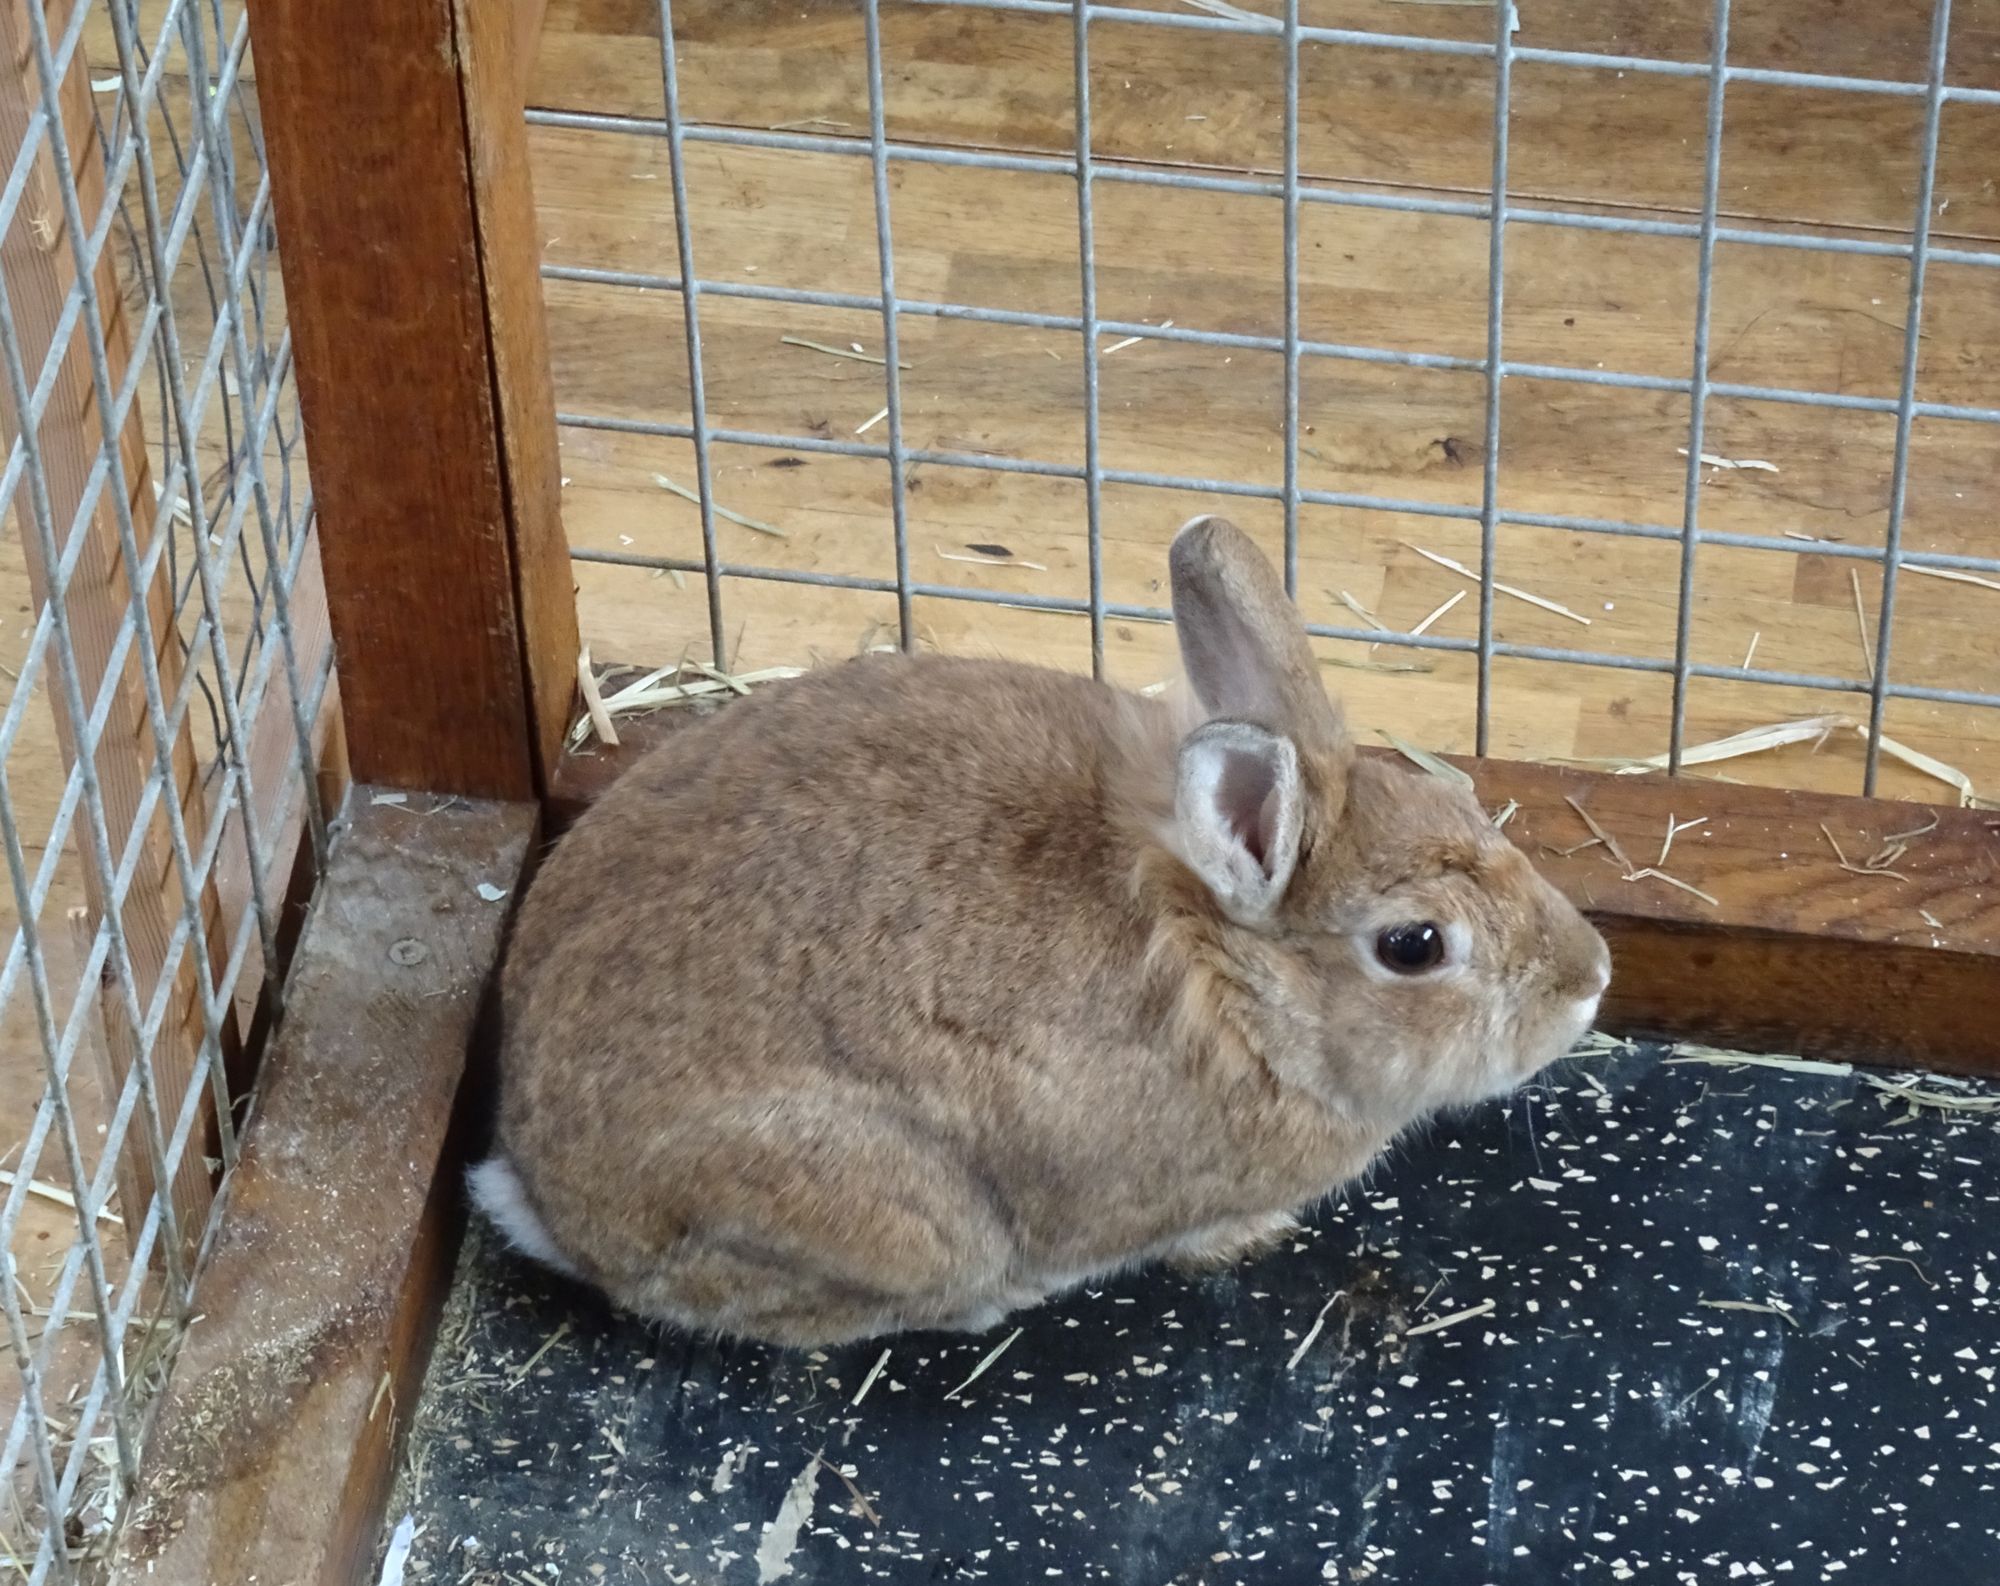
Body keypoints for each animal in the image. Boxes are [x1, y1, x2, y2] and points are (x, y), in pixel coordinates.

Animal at [469, 515, 1611, 1348]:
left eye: (1461, 802)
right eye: (1414, 946)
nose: (1589, 977)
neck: (1234, 979)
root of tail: (545, 1188)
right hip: (893, 1211)